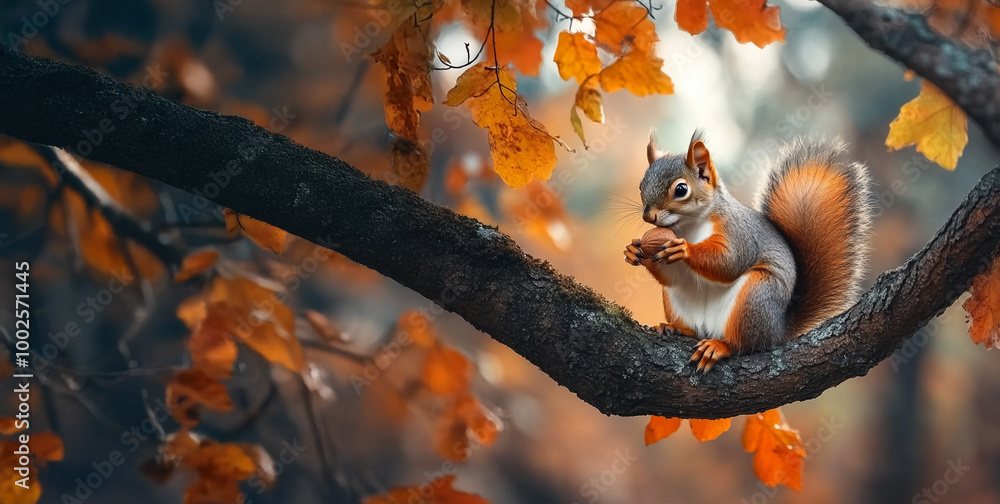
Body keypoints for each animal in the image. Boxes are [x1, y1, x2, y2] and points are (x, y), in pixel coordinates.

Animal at [623, 130, 871, 372]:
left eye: (681, 189)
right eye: (641, 186)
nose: (648, 216)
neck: (688, 226)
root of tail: (778, 330)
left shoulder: (739, 235)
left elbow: (729, 262)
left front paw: (684, 249)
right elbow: (672, 277)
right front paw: (634, 251)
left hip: (755, 296)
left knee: (743, 344)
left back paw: (719, 347)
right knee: (694, 329)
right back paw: (676, 328)